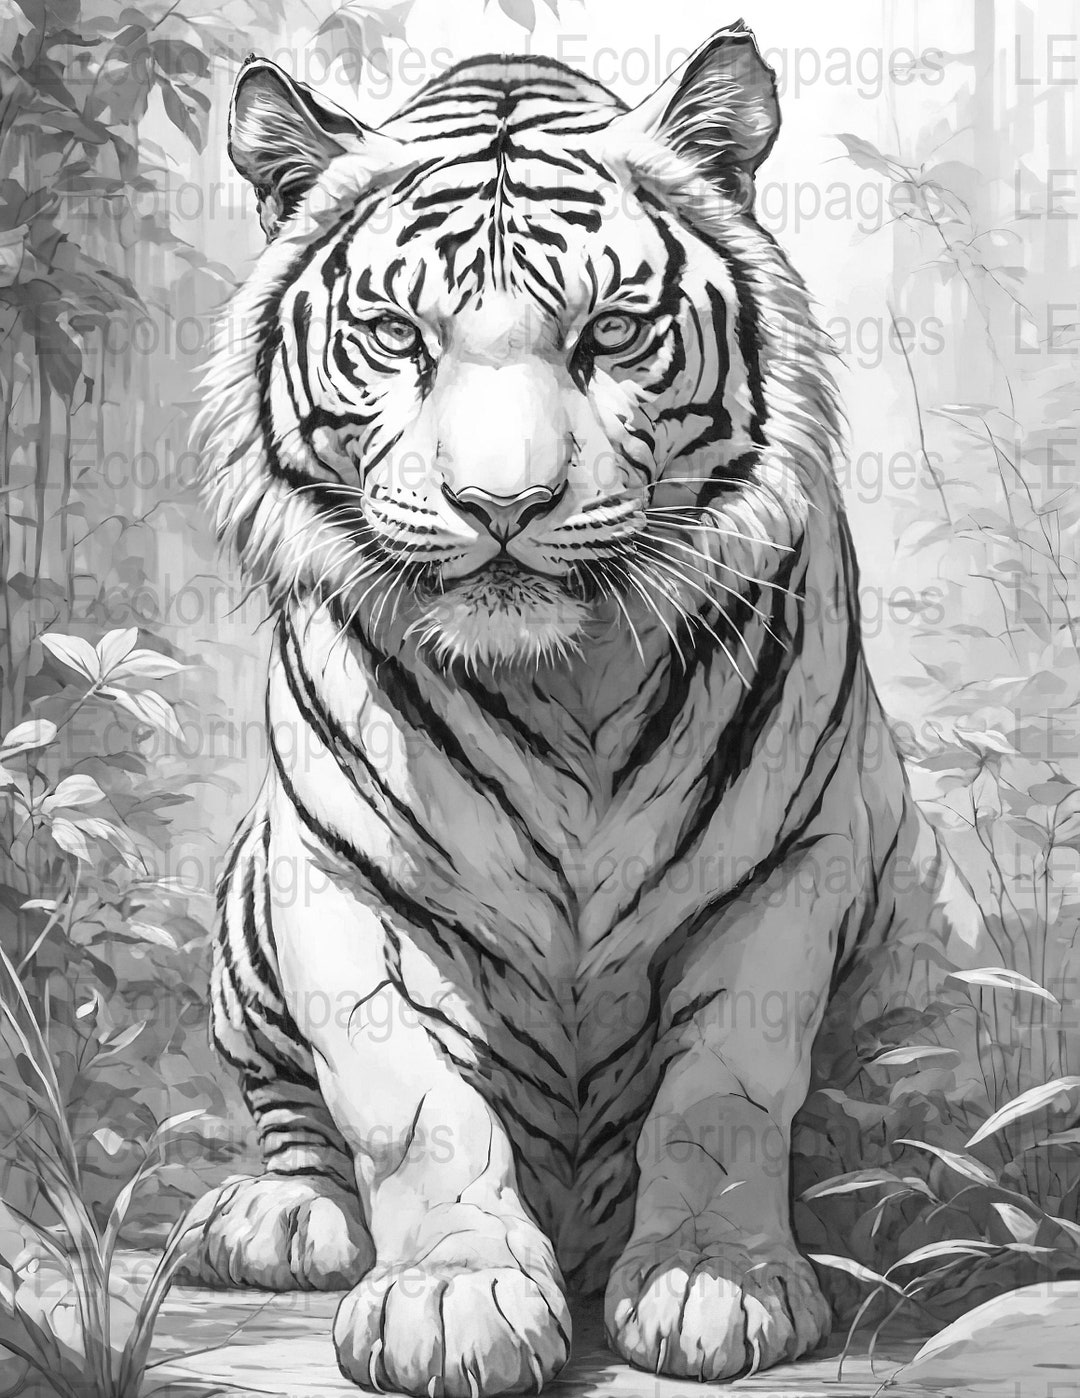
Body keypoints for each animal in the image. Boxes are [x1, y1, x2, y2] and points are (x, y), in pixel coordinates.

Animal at [177, 19, 983, 1395]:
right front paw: (450, 1299)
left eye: (610, 333)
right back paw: (279, 1217)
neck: (559, 682)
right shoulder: (337, 879)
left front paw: (716, 1282)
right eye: (397, 336)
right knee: (290, 1110)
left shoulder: (792, 869)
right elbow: (410, 1103)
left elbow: (726, 1090)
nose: (502, 506)